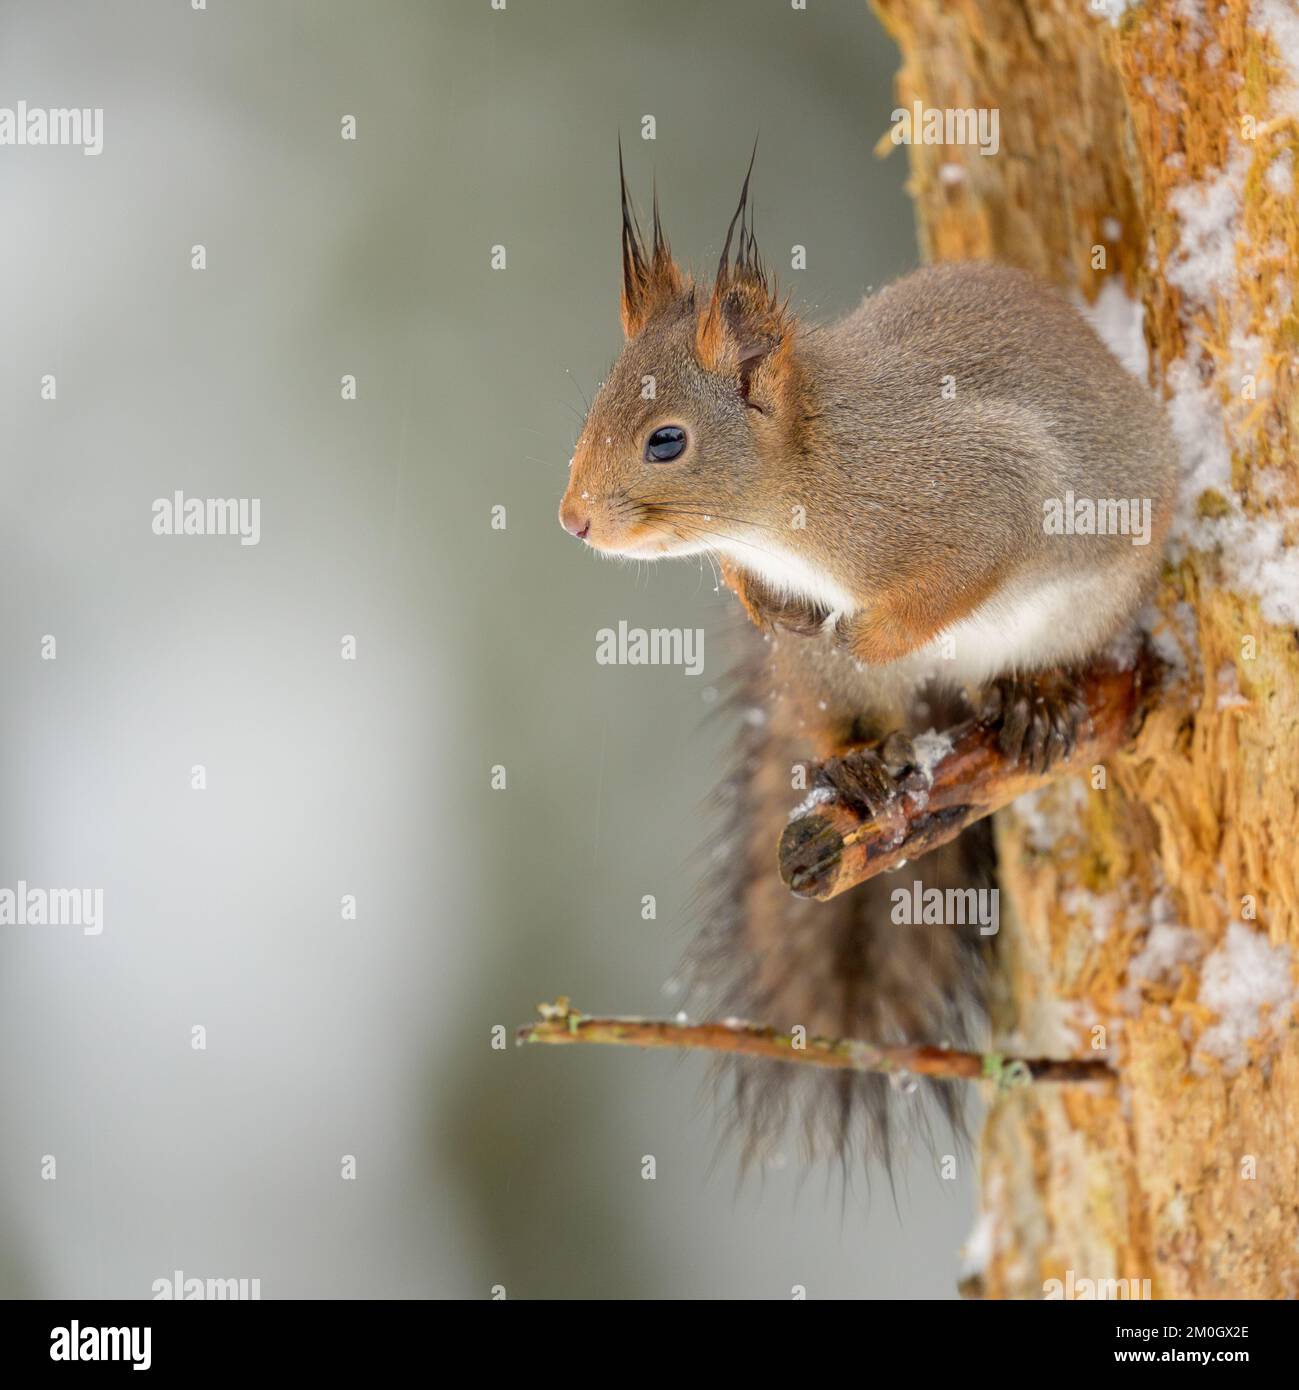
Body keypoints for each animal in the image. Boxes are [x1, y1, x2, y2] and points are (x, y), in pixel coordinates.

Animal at [557, 150, 1176, 1168]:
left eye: (665, 439)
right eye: (594, 410)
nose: (571, 520)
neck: (798, 489)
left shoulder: (984, 494)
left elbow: (953, 580)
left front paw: (862, 625)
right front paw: (771, 603)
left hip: (1093, 594)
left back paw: (1034, 700)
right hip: (829, 693)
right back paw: (856, 760)